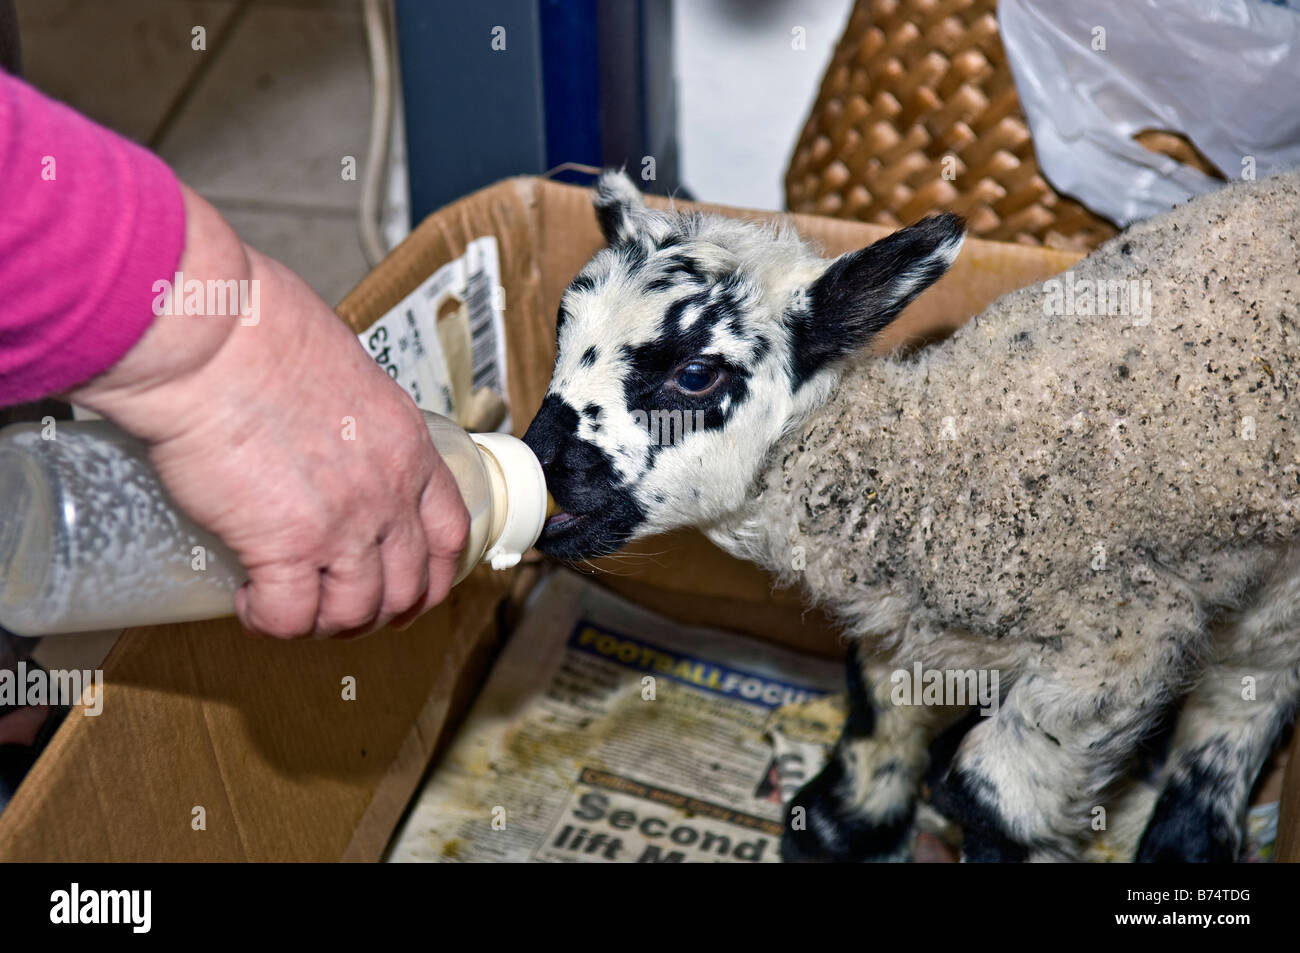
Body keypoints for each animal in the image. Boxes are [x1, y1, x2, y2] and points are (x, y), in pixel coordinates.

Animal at [522, 168, 1300, 862]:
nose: (540, 454)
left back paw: (1187, 840)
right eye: (562, 330)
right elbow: (879, 706)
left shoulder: (1121, 637)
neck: (922, 471)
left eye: (696, 374)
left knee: (1246, 690)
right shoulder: (906, 622)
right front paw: (844, 828)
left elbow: (993, 797)